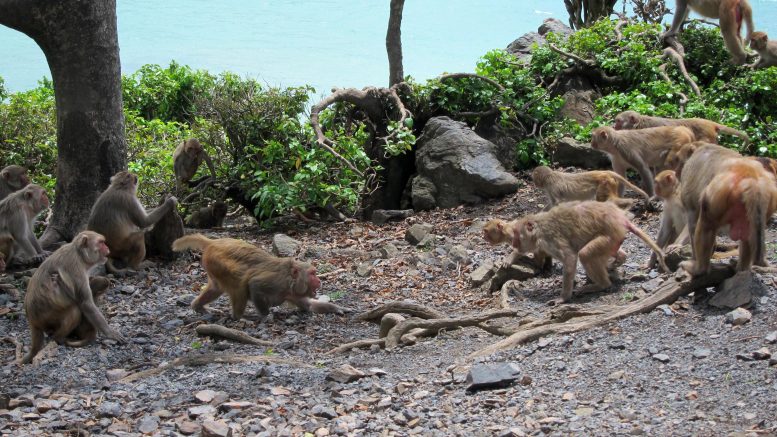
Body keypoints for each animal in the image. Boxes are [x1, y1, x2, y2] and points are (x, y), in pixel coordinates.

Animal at [20, 231, 125, 364]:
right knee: (74, 311)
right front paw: (110, 332)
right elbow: (85, 303)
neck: (79, 254)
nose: (107, 248)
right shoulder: (76, 268)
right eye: (101, 242)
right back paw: (58, 338)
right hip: (46, 318)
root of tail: (32, 320)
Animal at [172, 234, 349, 320]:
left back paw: (198, 306)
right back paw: (238, 317)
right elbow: (254, 284)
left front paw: (336, 308)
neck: (290, 281)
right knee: (239, 285)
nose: (318, 280)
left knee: (216, 288)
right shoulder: (277, 282)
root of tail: (213, 243)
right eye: (312, 274)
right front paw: (265, 315)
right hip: (217, 261)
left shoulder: (292, 293)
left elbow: (309, 306)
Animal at [510, 201, 668, 304]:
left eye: (517, 234)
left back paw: (602, 285)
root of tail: (620, 219)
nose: (513, 243)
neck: (539, 229)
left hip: (610, 235)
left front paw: (563, 298)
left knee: (585, 254)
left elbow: (570, 258)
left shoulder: (550, 239)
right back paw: (619, 259)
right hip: (614, 238)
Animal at [679, 144, 777, 276]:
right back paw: (741, 269)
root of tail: (751, 180)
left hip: (718, 194)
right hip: (768, 197)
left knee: (706, 222)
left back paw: (698, 268)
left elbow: (693, 221)